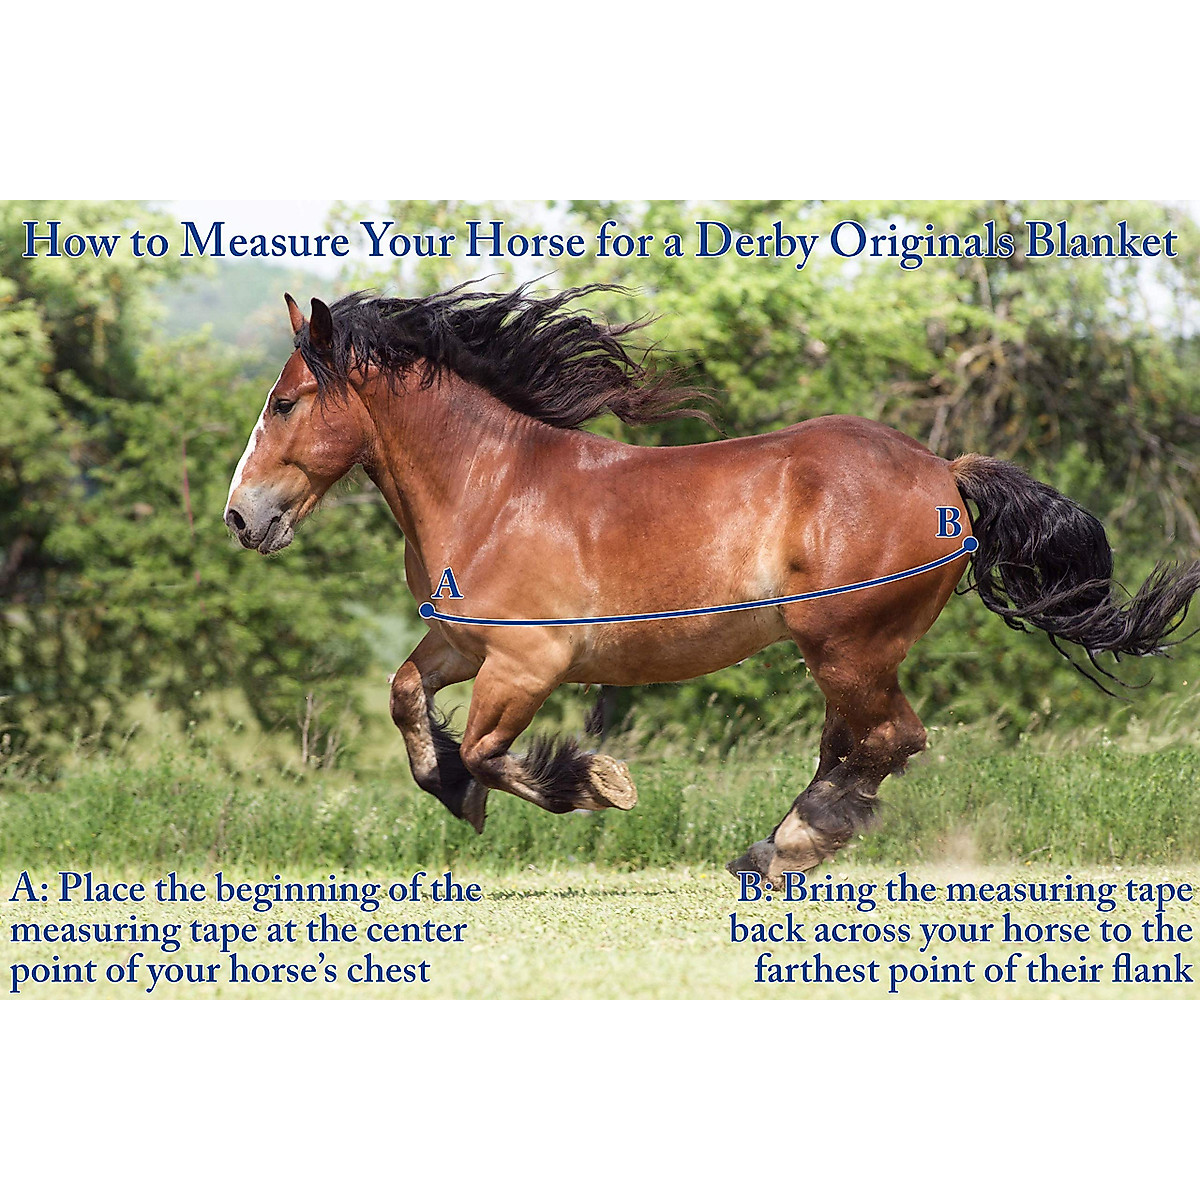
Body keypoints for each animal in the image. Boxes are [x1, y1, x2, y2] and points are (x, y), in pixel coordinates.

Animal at [223, 286, 1200, 884]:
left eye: (285, 403)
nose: (241, 518)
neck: (490, 488)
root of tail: (945, 473)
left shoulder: (529, 663)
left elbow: (494, 752)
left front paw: (596, 784)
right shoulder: (460, 645)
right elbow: (407, 701)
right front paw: (453, 787)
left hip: (848, 645)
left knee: (887, 740)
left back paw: (783, 849)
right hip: (841, 654)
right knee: (859, 744)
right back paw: (783, 845)